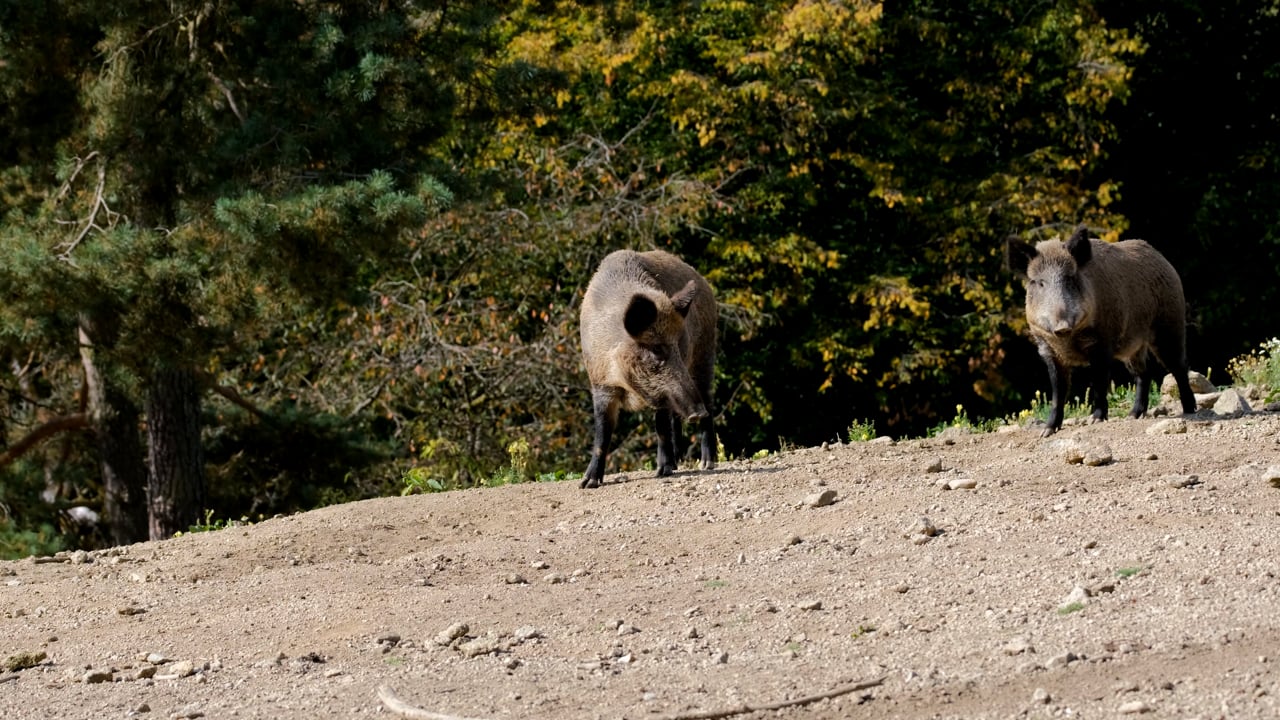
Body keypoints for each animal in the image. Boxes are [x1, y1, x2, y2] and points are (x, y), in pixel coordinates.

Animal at [578, 249, 717, 488]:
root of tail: (703, 282)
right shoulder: (600, 383)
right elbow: (602, 434)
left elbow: (660, 425)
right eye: (656, 349)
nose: (696, 412)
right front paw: (588, 484)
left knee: (707, 400)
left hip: (704, 356)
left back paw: (706, 464)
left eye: (678, 345)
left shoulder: (663, 392)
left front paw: (663, 471)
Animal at [1006, 224, 1197, 436]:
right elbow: (1058, 392)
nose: (1062, 326)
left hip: (1170, 326)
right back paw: (1133, 415)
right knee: (1143, 372)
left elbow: (1099, 382)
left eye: (1070, 278)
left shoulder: (1103, 343)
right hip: (1133, 346)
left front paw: (1096, 420)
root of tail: (1164, 261)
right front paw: (1047, 432)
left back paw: (1190, 410)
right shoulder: (1048, 350)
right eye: (1039, 282)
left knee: (1179, 367)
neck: (1067, 341)